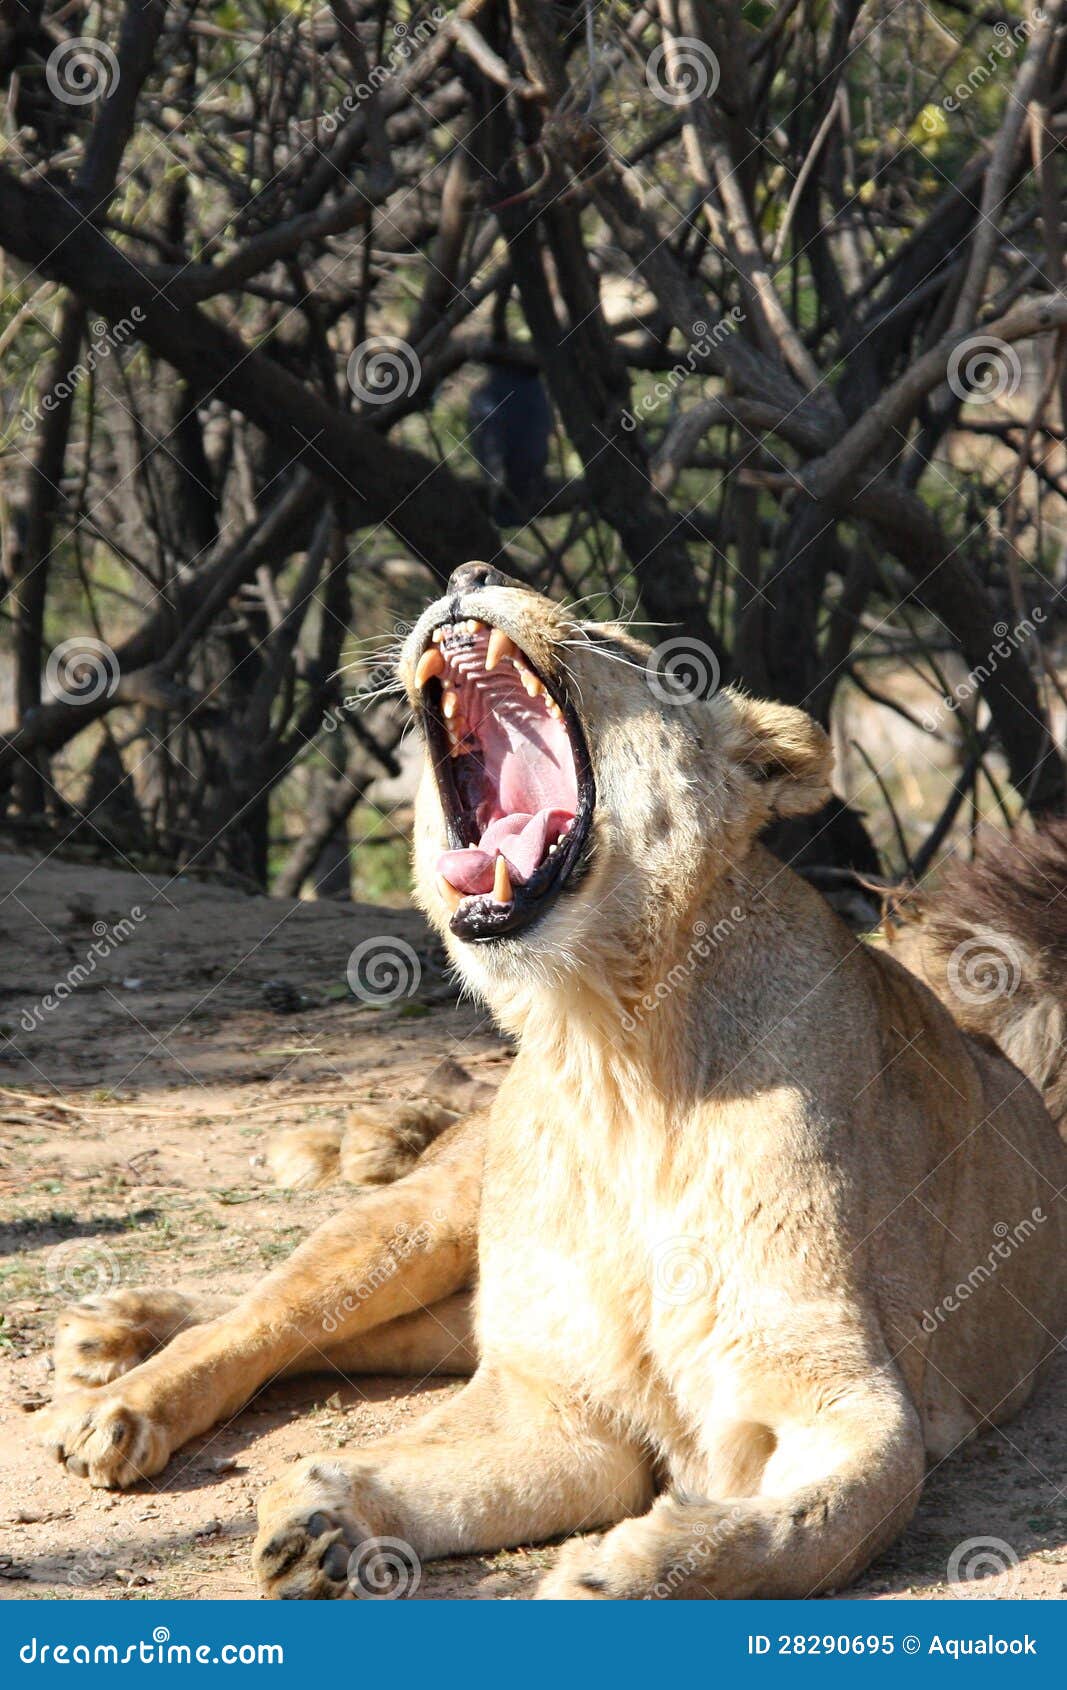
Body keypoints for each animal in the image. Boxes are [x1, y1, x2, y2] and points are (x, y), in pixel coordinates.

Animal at [39, 563, 1067, 1600]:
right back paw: (115, 1385)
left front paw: (620, 1568)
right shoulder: (555, 1401)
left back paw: (111, 1334)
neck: (609, 1054)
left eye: (618, 645)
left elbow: (815, 1521)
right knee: (267, 1313)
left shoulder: (837, 1392)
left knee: (335, 1334)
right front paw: (317, 1510)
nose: (468, 574)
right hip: (424, 1219)